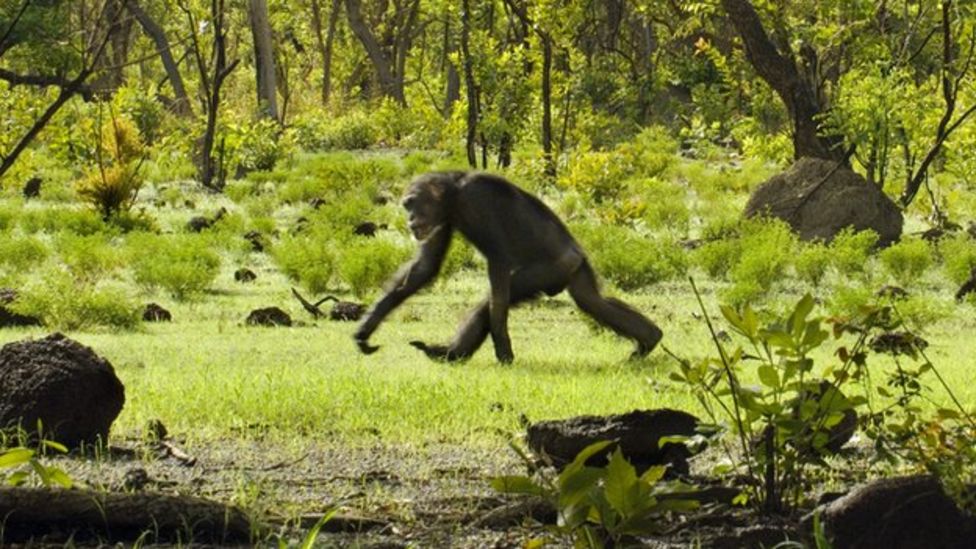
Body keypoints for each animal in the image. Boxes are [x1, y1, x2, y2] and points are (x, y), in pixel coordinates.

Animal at [354, 171, 663, 363]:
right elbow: (424, 267)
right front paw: (366, 328)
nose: (409, 219)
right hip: (576, 274)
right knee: (594, 301)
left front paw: (503, 346)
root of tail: (577, 254)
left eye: (412, 203)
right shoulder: (441, 222)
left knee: (497, 299)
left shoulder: (476, 200)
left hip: (550, 270)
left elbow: (498, 260)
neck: (453, 196)